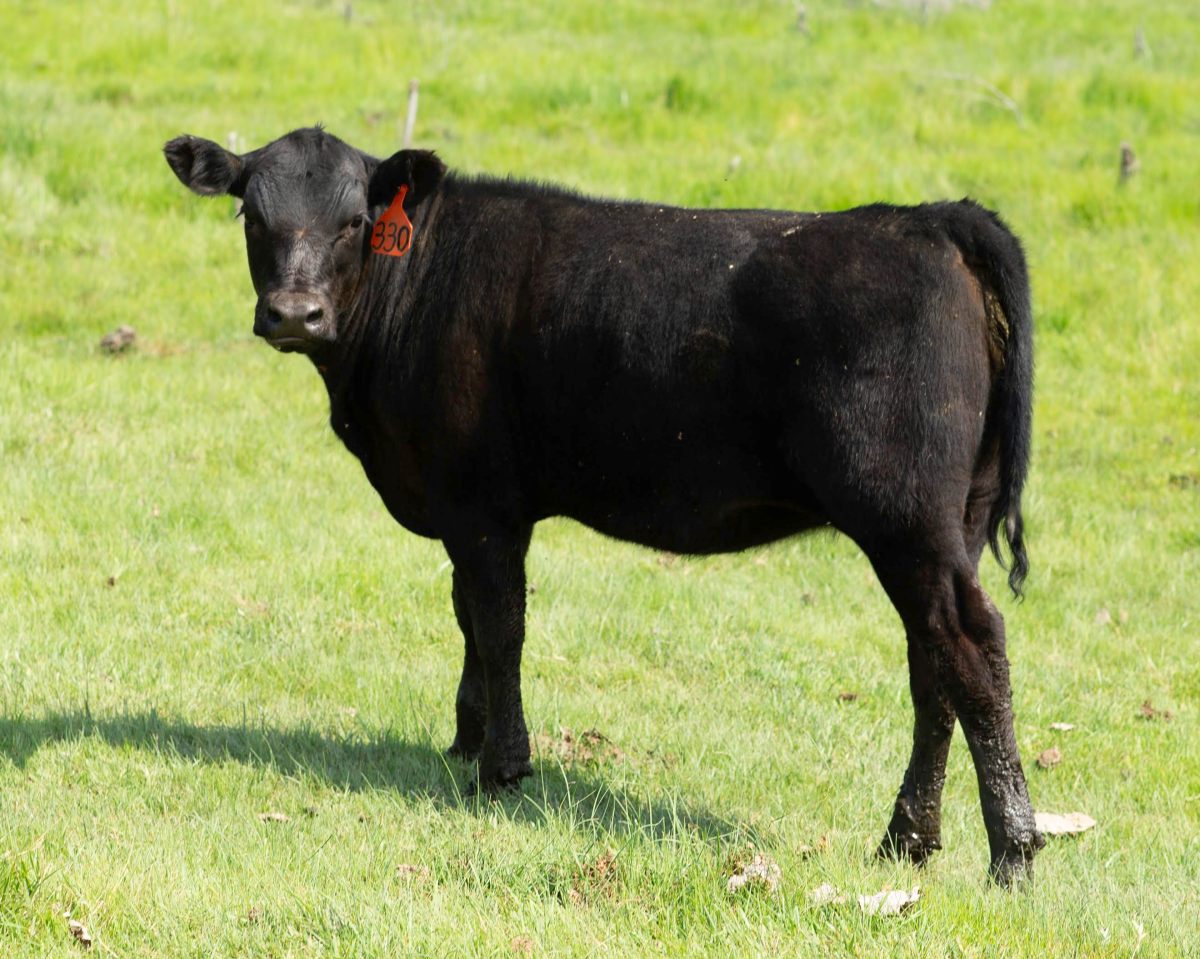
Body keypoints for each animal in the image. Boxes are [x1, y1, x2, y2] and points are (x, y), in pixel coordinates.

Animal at [164, 126, 1043, 883]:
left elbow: (499, 622)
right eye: (252, 214)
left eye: (354, 221)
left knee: (970, 647)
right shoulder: (461, 506)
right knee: (932, 663)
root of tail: (927, 219)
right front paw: (465, 740)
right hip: (955, 518)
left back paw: (1012, 853)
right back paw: (909, 838)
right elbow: (468, 617)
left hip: (903, 514)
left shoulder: (481, 503)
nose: (294, 313)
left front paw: (501, 766)